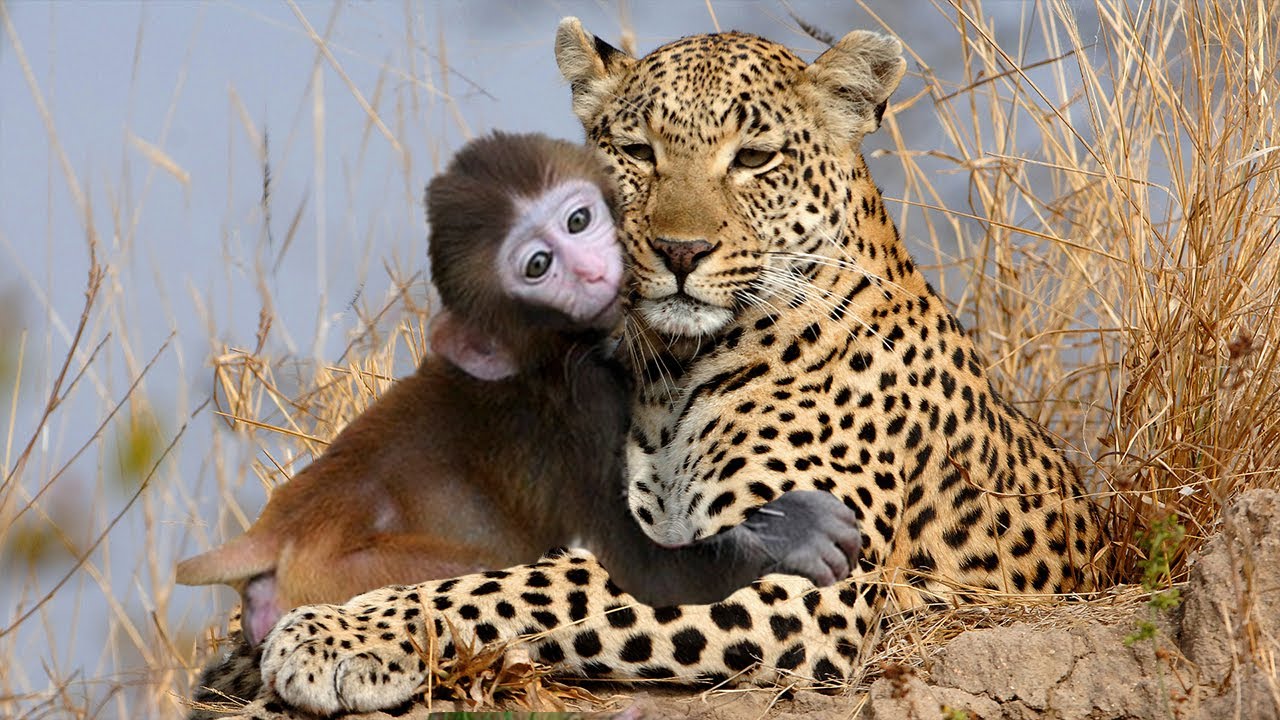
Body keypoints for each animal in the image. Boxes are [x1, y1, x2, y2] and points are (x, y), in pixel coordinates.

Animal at [177, 132, 862, 646]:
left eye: (579, 220)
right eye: (538, 266)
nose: (590, 271)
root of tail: (279, 528)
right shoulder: (587, 402)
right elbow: (648, 574)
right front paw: (788, 532)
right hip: (352, 573)